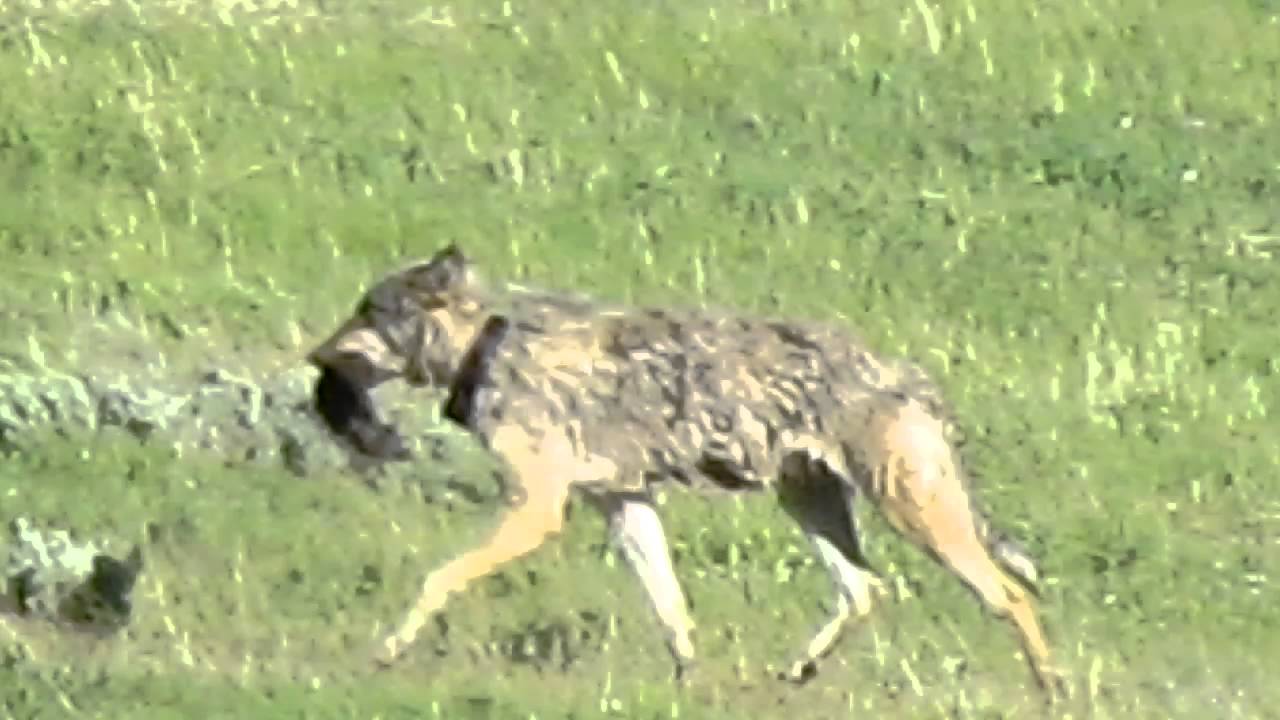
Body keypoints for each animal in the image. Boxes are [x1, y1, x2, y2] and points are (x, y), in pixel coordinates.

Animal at [305, 244, 1063, 697]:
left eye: (368, 312)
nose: (314, 356)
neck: (486, 348)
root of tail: (903, 372)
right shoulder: (625, 507)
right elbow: (671, 609)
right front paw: (688, 685)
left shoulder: (535, 510)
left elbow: (438, 578)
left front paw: (387, 651)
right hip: (811, 504)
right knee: (863, 590)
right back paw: (796, 671)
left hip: (916, 516)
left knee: (1010, 596)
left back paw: (1051, 688)